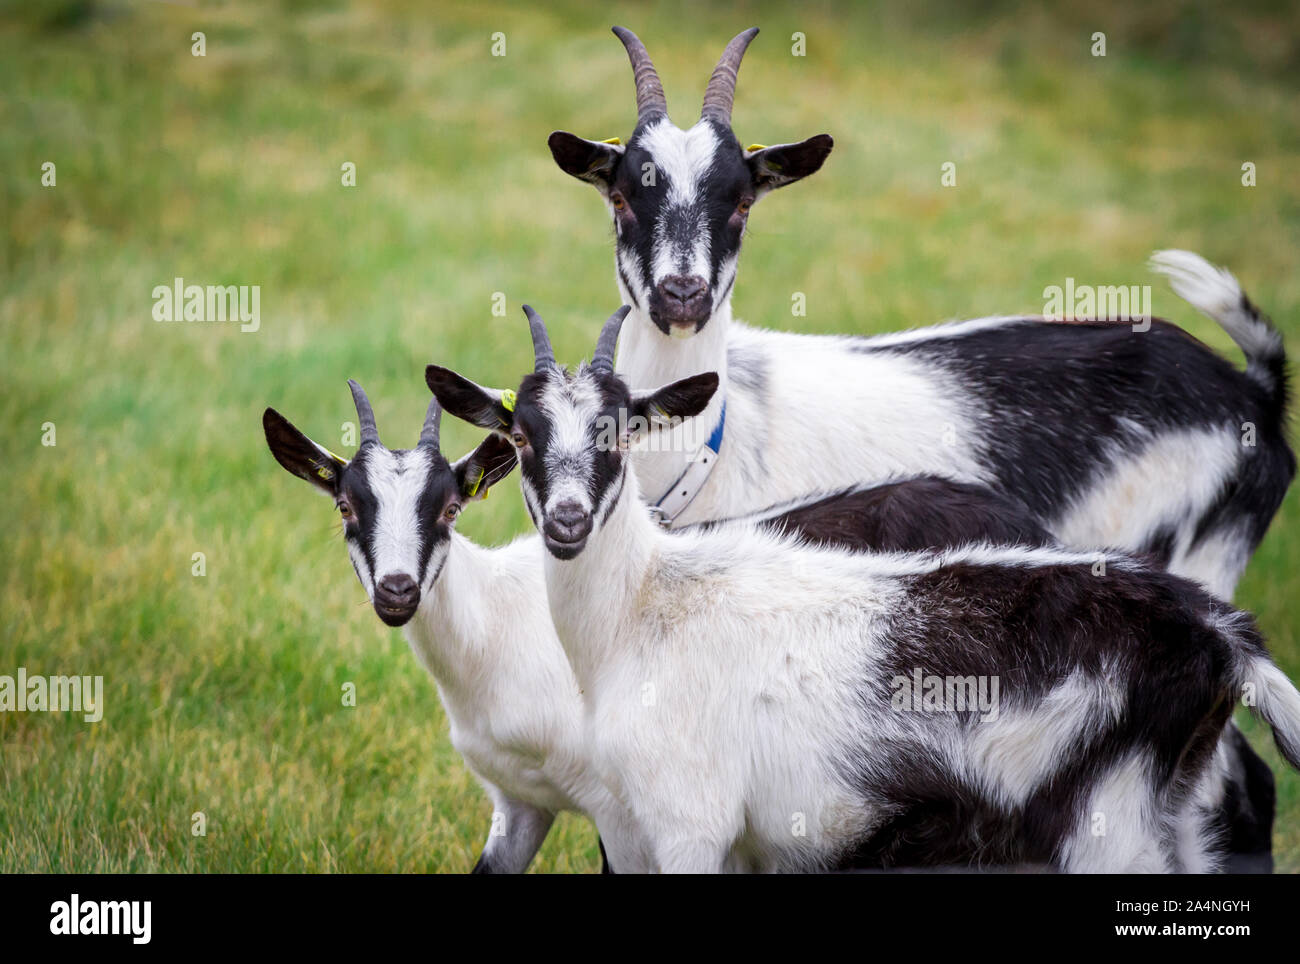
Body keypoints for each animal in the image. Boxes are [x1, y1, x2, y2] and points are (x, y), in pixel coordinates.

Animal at [428, 304, 1300, 873]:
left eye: (621, 432)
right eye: (520, 436)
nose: (569, 521)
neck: (648, 604)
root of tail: (1222, 637)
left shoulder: (689, 822)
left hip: (1109, 826)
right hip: (1167, 815)